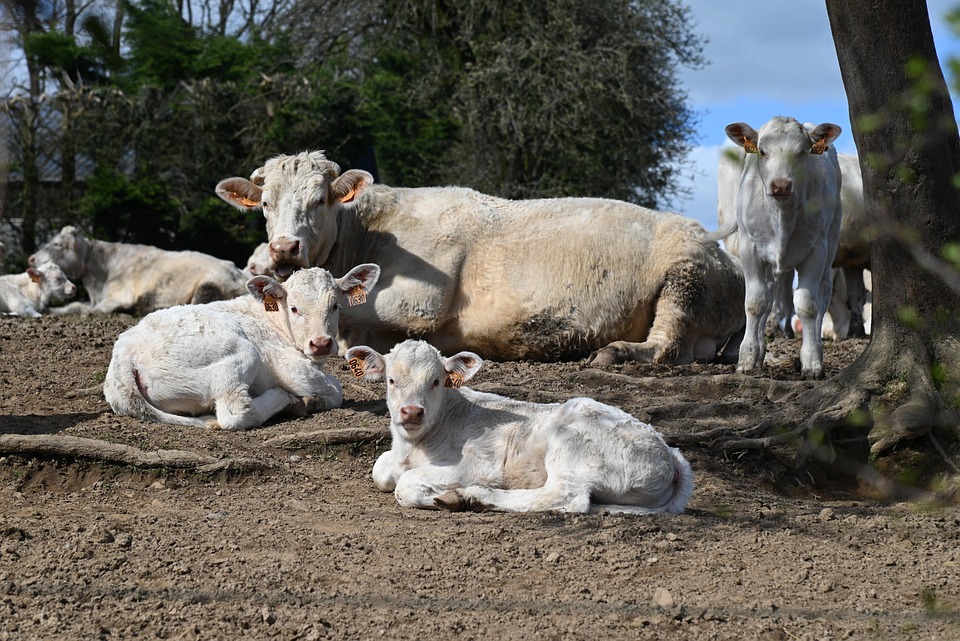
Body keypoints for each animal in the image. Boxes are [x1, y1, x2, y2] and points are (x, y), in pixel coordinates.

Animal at [28, 226, 249, 316]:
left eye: (57, 244)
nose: (31, 258)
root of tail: (241, 273)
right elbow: (74, 306)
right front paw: (50, 310)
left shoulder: (117, 296)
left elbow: (90, 311)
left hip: (207, 287)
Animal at [103, 264, 380, 430]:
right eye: (294, 308)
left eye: (335, 305)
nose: (321, 343)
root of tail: (124, 352)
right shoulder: (288, 365)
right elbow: (336, 388)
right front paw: (311, 399)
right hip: (242, 353)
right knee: (236, 412)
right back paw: (288, 401)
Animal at [215, 151, 745, 365]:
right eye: (265, 205)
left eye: (321, 200)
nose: (284, 248)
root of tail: (723, 253)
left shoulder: (422, 300)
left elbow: (358, 313)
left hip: (684, 276)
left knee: (667, 344)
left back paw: (617, 352)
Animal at [346, 339, 694, 514]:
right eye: (391, 380)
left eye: (436, 381)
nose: (412, 412)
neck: (414, 447)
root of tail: (670, 452)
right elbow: (380, 470)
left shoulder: (477, 464)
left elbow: (405, 485)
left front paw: (437, 495)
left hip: (573, 442)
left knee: (567, 498)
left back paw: (473, 497)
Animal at [714, 117, 843, 379]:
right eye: (763, 151)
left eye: (802, 152)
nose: (781, 185)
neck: (782, 215)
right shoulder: (749, 248)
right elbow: (755, 302)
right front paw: (747, 357)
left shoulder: (816, 251)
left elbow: (807, 305)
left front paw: (811, 362)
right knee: (770, 294)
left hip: (832, 238)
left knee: (824, 293)